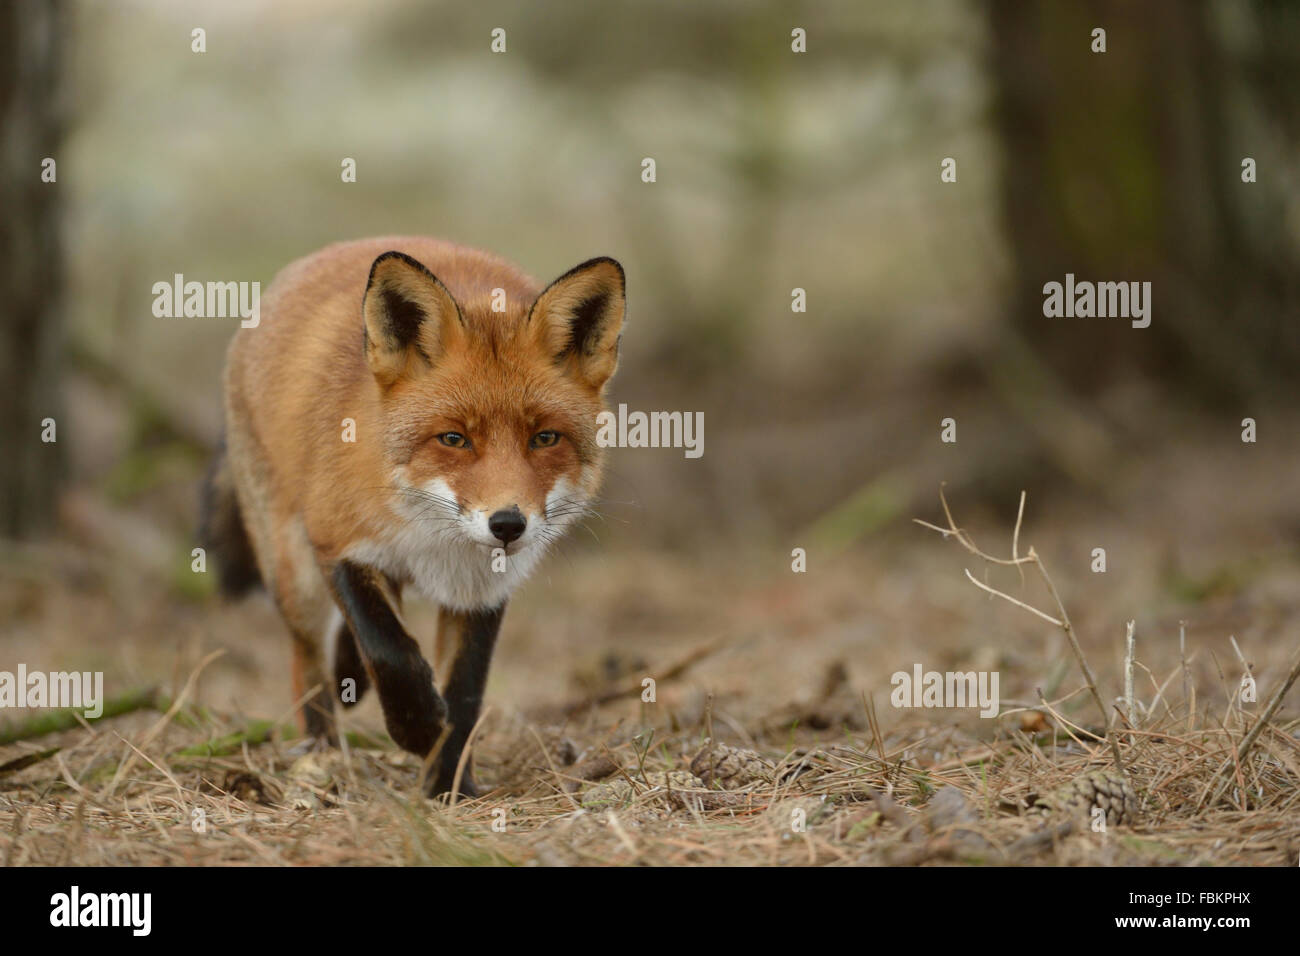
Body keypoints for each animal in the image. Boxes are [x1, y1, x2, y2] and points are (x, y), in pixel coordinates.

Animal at [200, 236, 626, 797]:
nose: (508, 525)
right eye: (454, 438)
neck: (434, 539)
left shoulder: (483, 589)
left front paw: (449, 785)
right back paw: (320, 751)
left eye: (545, 438)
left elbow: (464, 693)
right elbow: (391, 650)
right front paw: (418, 728)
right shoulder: (338, 543)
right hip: (293, 574)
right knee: (307, 663)